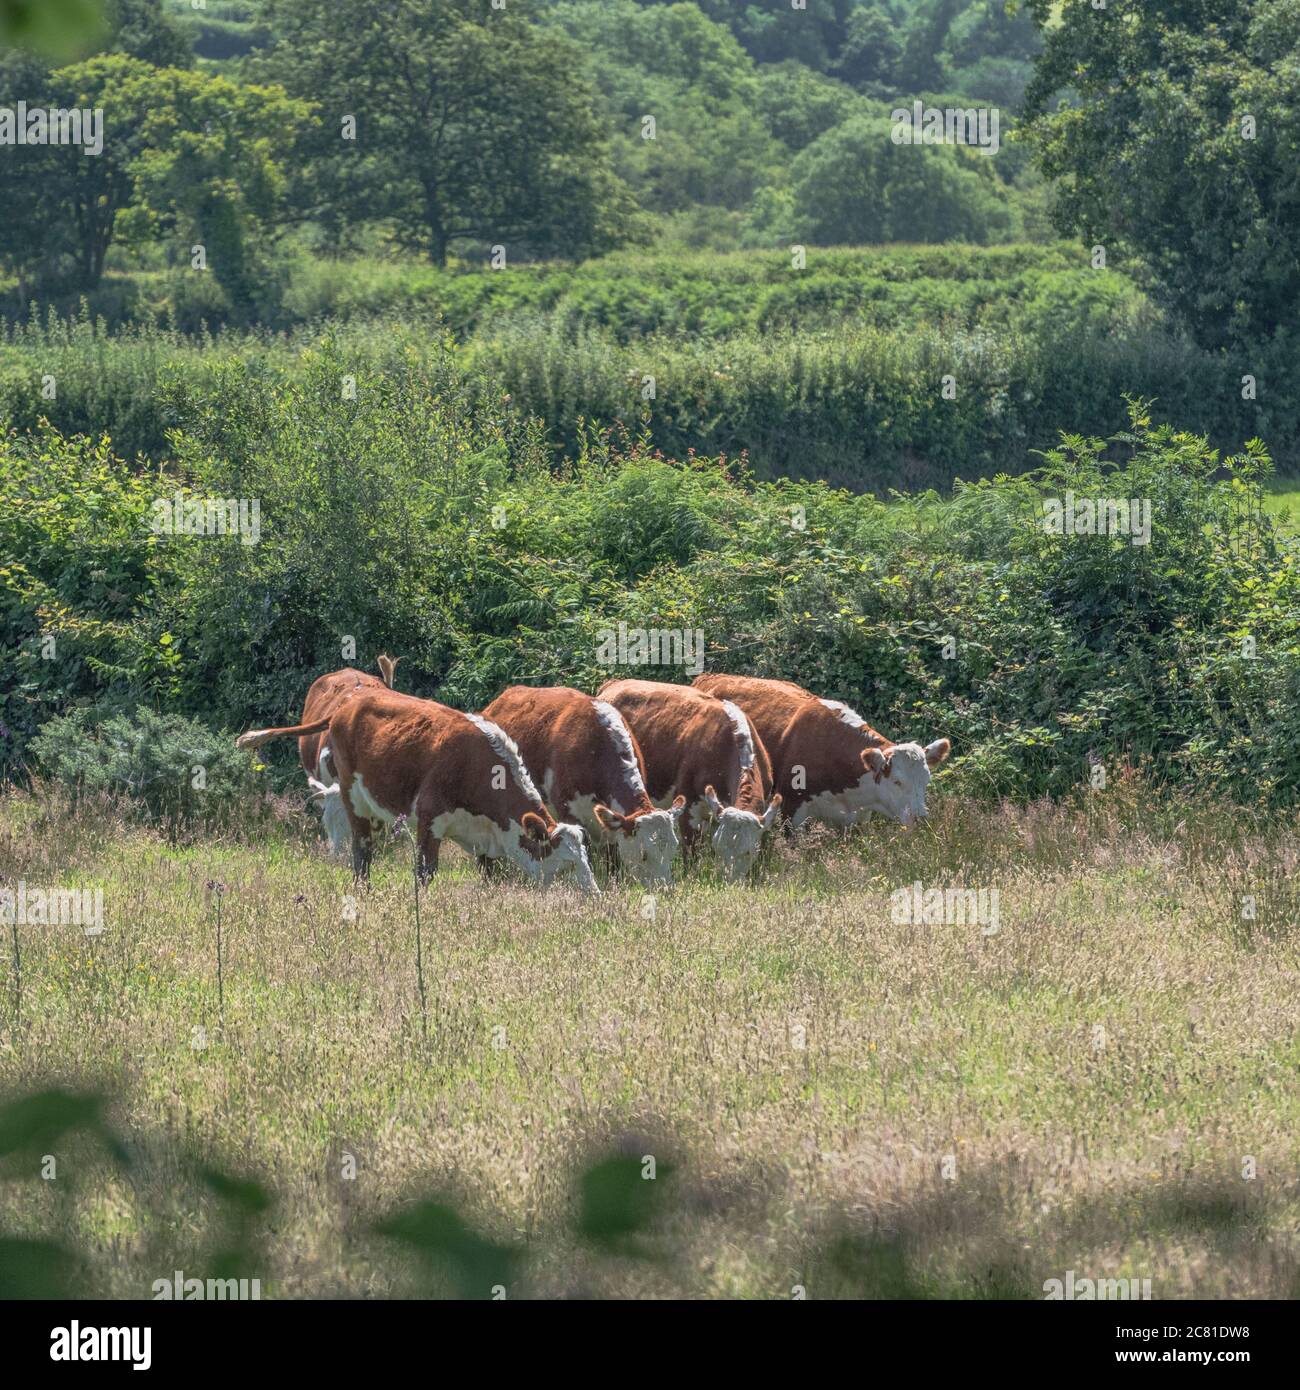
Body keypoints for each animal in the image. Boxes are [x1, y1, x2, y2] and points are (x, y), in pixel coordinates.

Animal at [235, 689, 598, 892]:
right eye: (567, 864)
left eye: (586, 859)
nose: (593, 897)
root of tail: (345, 707)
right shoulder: (429, 818)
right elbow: (425, 872)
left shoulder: (487, 835)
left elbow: (488, 873)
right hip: (354, 798)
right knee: (362, 851)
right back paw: (364, 890)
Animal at [482, 686, 685, 887]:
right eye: (644, 854)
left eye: (673, 849)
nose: (665, 888)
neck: (596, 750)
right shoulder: (569, 812)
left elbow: (613, 859)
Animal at [597, 678, 781, 880]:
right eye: (718, 847)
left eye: (747, 852)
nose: (728, 881)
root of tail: (613, 683)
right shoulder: (688, 805)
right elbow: (691, 852)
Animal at [692, 673, 950, 829]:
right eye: (897, 781)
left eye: (926, 781)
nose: (921, 818)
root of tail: (709, 676)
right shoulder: (791, 812)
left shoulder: (856, 820)